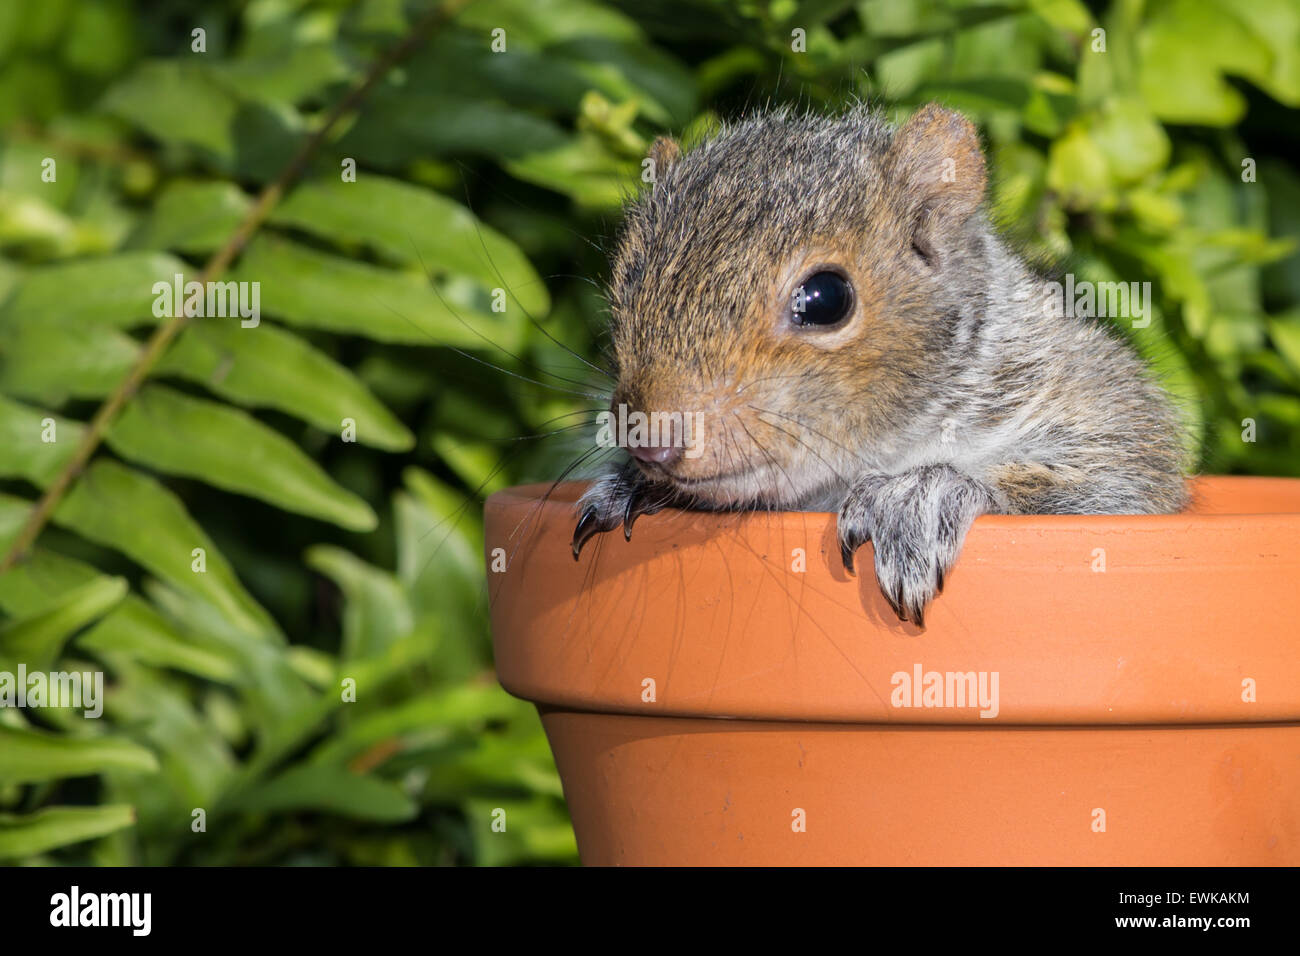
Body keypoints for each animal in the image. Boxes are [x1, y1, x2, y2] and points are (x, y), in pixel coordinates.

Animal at [570, 103, 1190, 626]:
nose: (649, 439)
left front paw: (915, 496)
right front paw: (629, 487)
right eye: (622, 283)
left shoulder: (1094, 409)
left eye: (826, 298)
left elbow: (1114, 489)